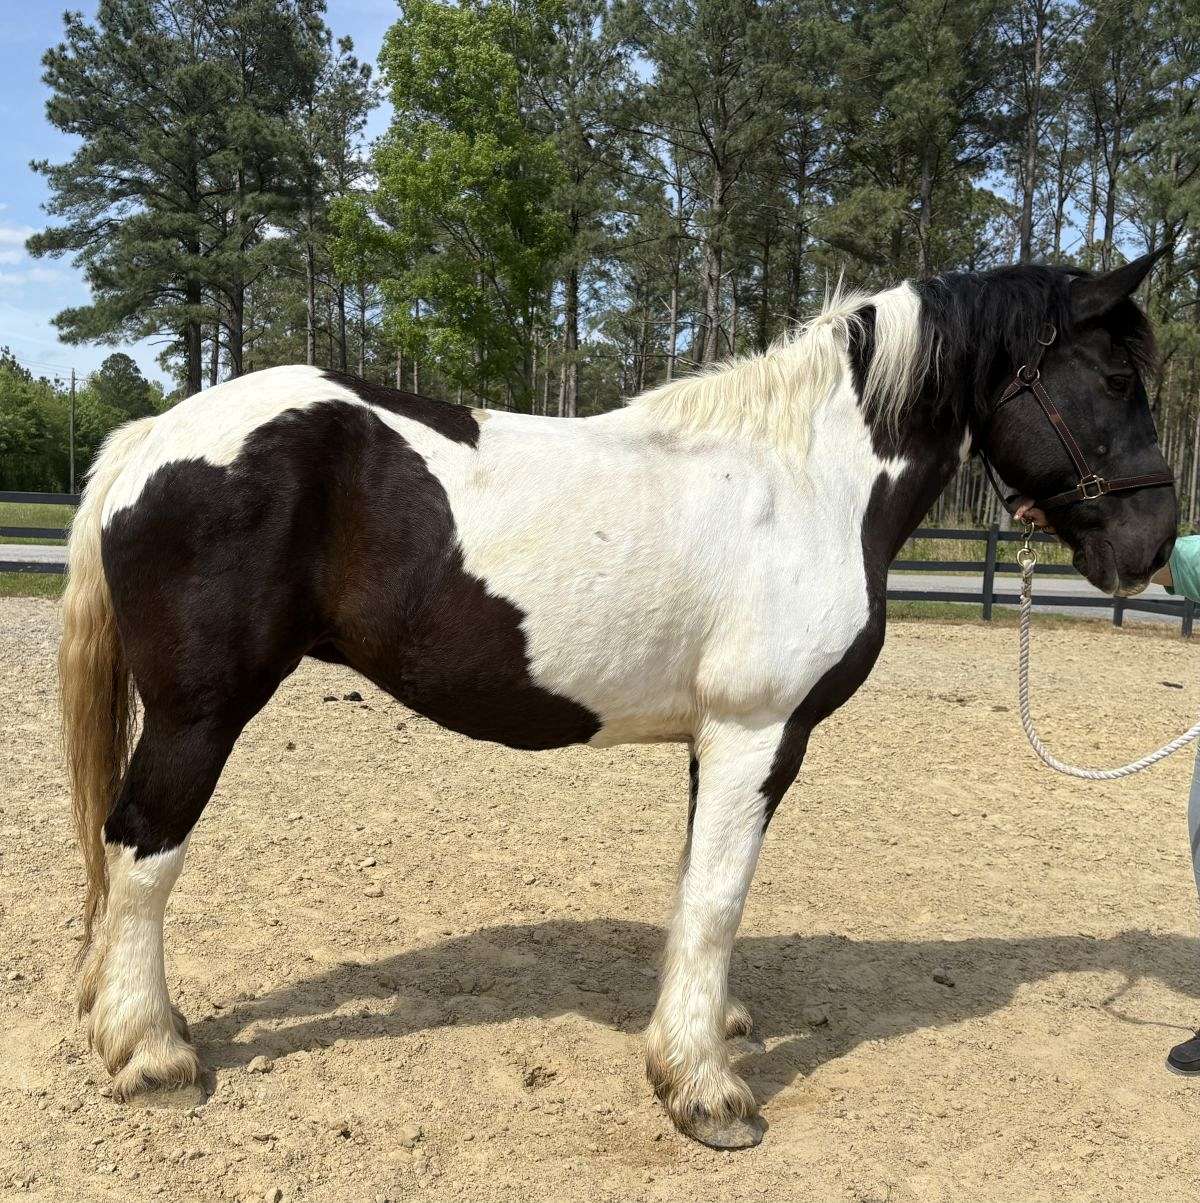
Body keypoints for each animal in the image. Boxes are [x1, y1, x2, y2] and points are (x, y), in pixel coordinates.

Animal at [60, 251, 1175, 1150]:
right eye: (1116, 376)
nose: (1154, 547)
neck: (807, 484)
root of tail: (159, 433)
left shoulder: (716, 743)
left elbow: (693, 890)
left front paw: (704, 1031)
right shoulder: (758, 733)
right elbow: (719, 898)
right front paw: (705, 1091)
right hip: (200, 715)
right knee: (142, 851)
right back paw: (152, 1054)